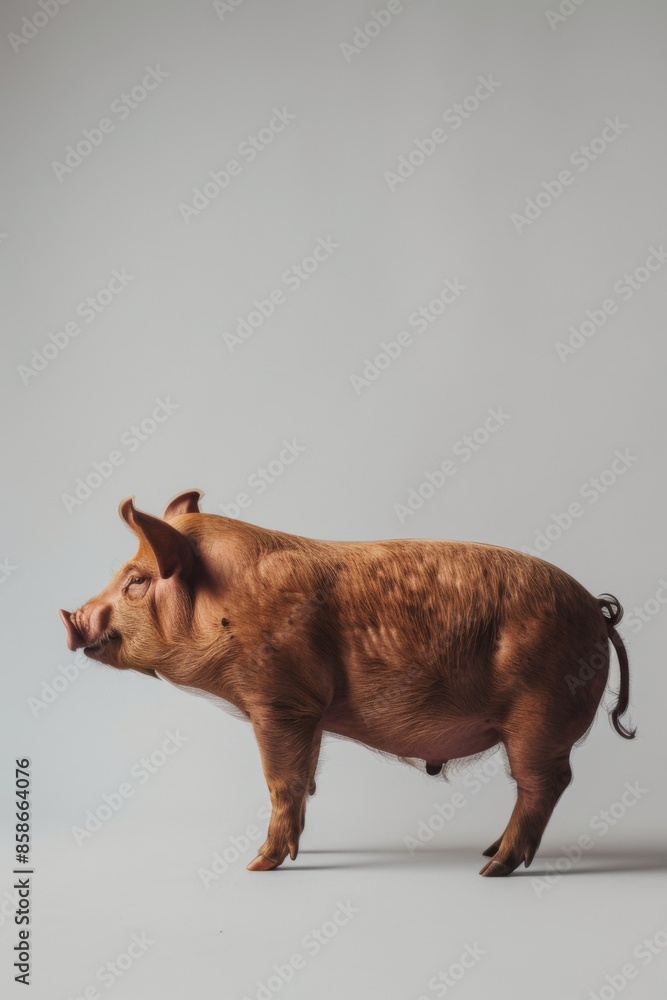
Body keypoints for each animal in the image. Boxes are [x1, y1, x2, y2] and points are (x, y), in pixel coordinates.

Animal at [60, 490, 635, 877]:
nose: (70, 617)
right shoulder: (309, 711)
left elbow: (282, 782)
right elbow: (307, 780)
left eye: (136, 580)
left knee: (544, 784)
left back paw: (493, 868)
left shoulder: (278, 699)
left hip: (540, 716)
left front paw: (258, 865)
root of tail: (597, 610)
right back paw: (488, 852)